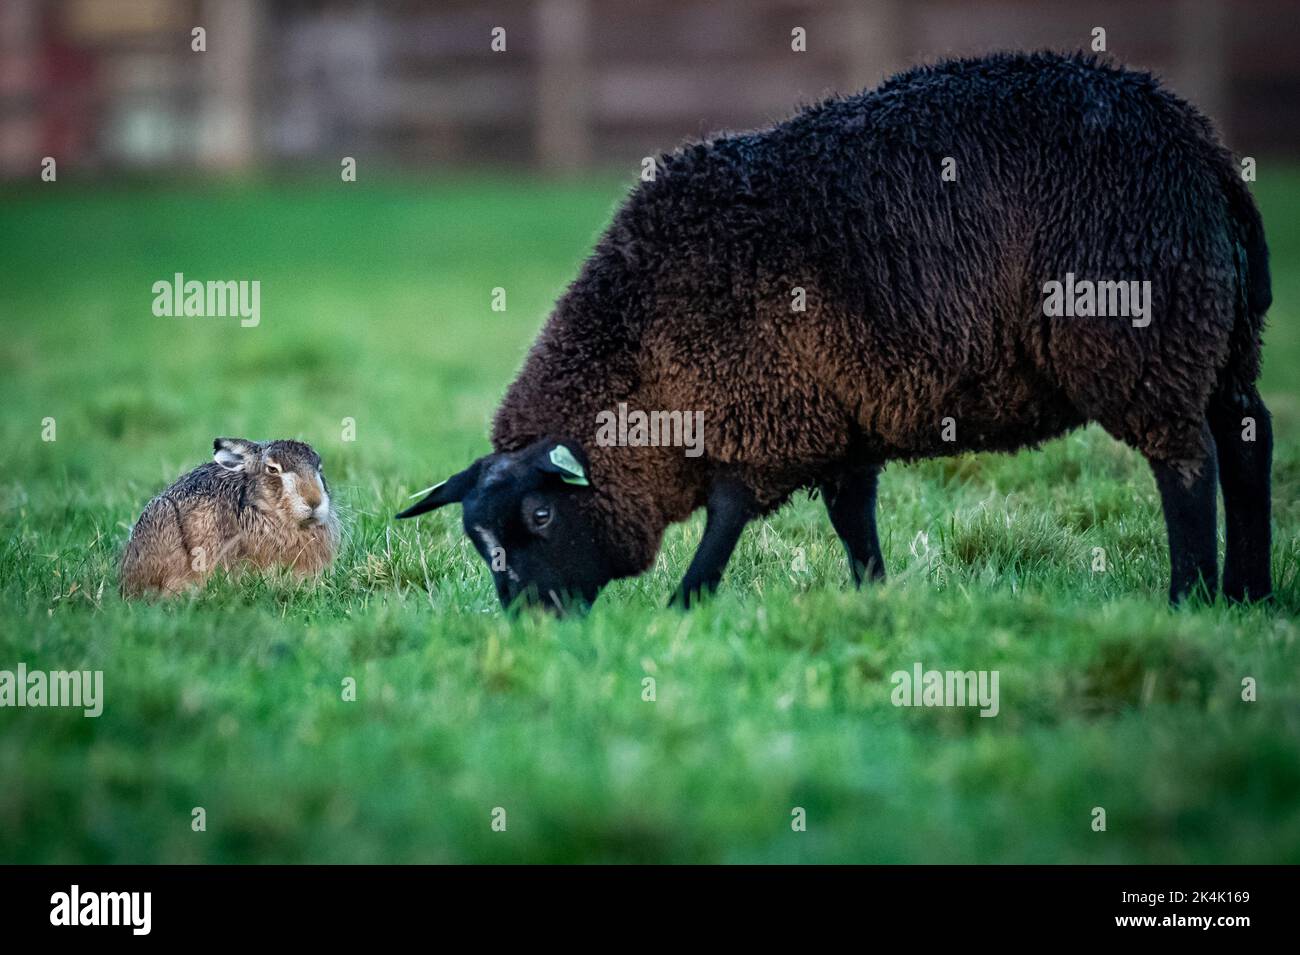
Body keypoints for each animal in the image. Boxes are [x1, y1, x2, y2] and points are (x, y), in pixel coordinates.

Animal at [397, 51, 1272, 610]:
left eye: (541, 517)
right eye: (477, 543)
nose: (529, 623)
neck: (642, 361)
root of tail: (1202, 148)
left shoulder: (763, 409)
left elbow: (727, 516)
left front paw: (685, 603)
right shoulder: (839, 413)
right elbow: (853, 520)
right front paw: (872, 599)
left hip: (1141, 333)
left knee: (1186, 461)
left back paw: (1190, 597)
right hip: (1221, 333)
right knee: (1247, 433)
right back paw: (1251, 593)